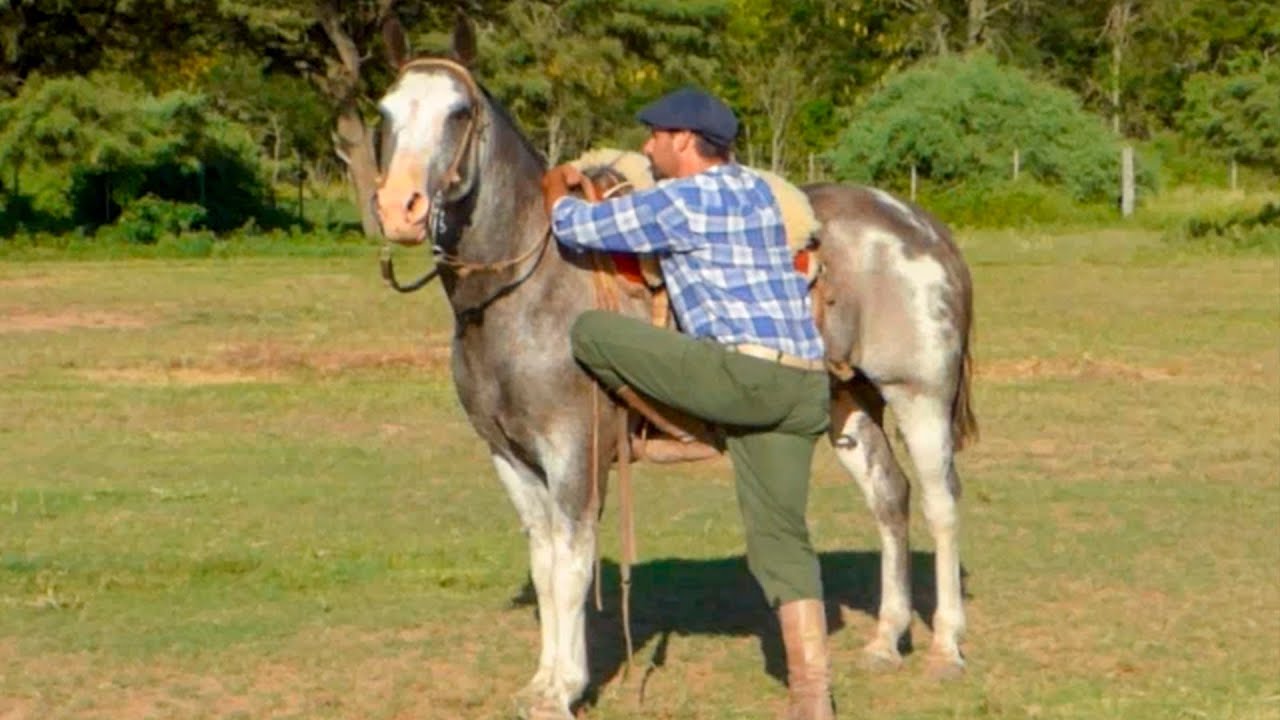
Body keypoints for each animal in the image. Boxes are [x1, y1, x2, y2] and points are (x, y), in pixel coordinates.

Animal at [373, 17, 976, 720]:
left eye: (458, 112)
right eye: (386, 111)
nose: (401, 208)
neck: (527, 287)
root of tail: (919, 225)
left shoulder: (574, 452)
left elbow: (572, 564)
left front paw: (566, 686)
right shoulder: (510, 457)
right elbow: (546, 562)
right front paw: (541, 683)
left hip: (919, 399)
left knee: (940, 504)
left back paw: (945, 650)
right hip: (847, 404)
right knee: (890, 498)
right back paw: (886, 641)